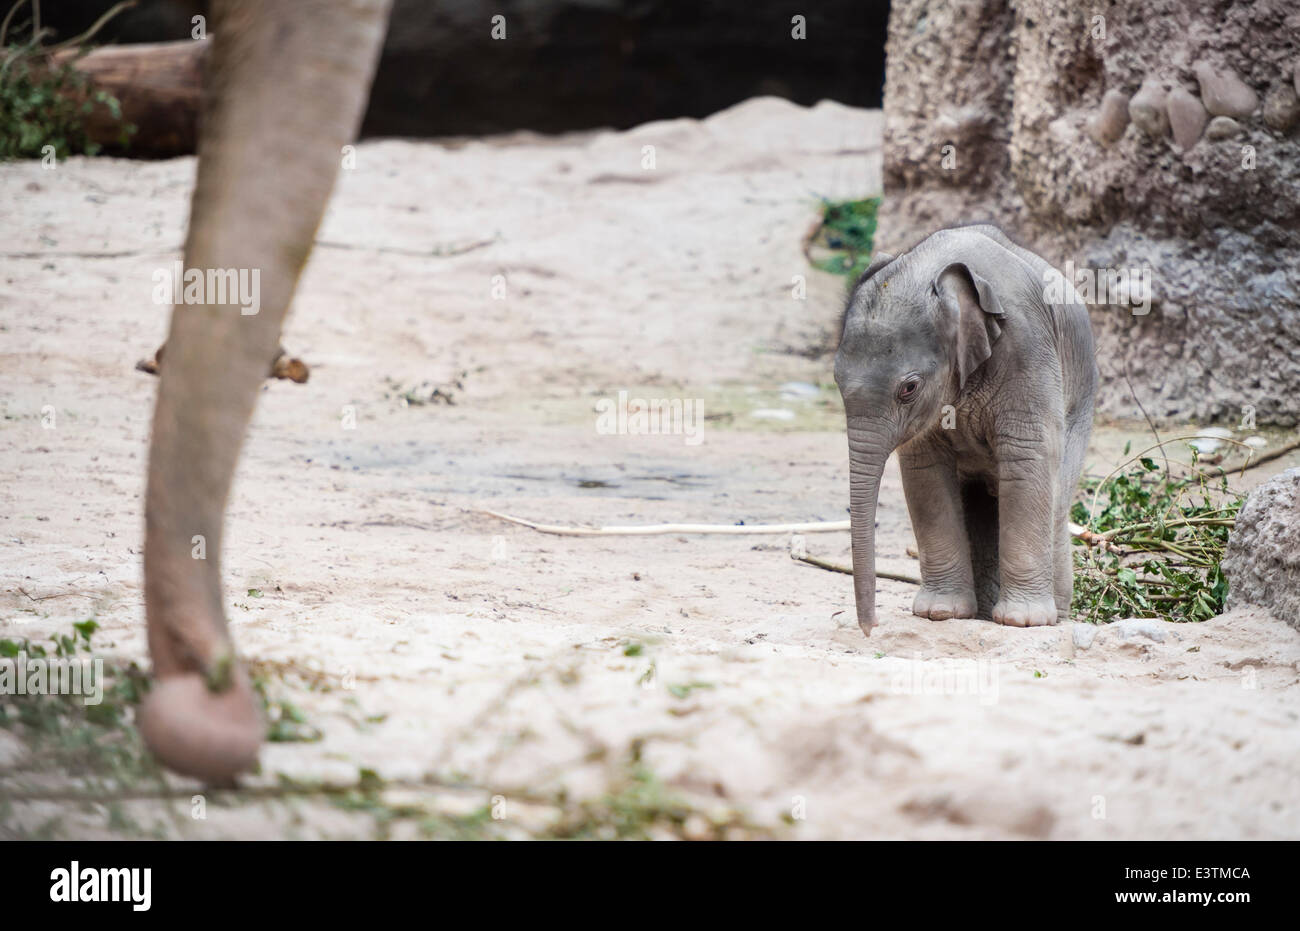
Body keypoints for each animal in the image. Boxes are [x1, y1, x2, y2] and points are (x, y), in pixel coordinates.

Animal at [833, 224, 1098, 636]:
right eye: (836, 379)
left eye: (908, 388)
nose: (869, 628)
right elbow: (925, 475)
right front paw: (940, 612)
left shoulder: (1027, 349)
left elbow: (1027, 458)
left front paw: (1023, 621)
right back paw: (984, 612)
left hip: (1080, 407)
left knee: (1054, 501)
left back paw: (1054, 616)